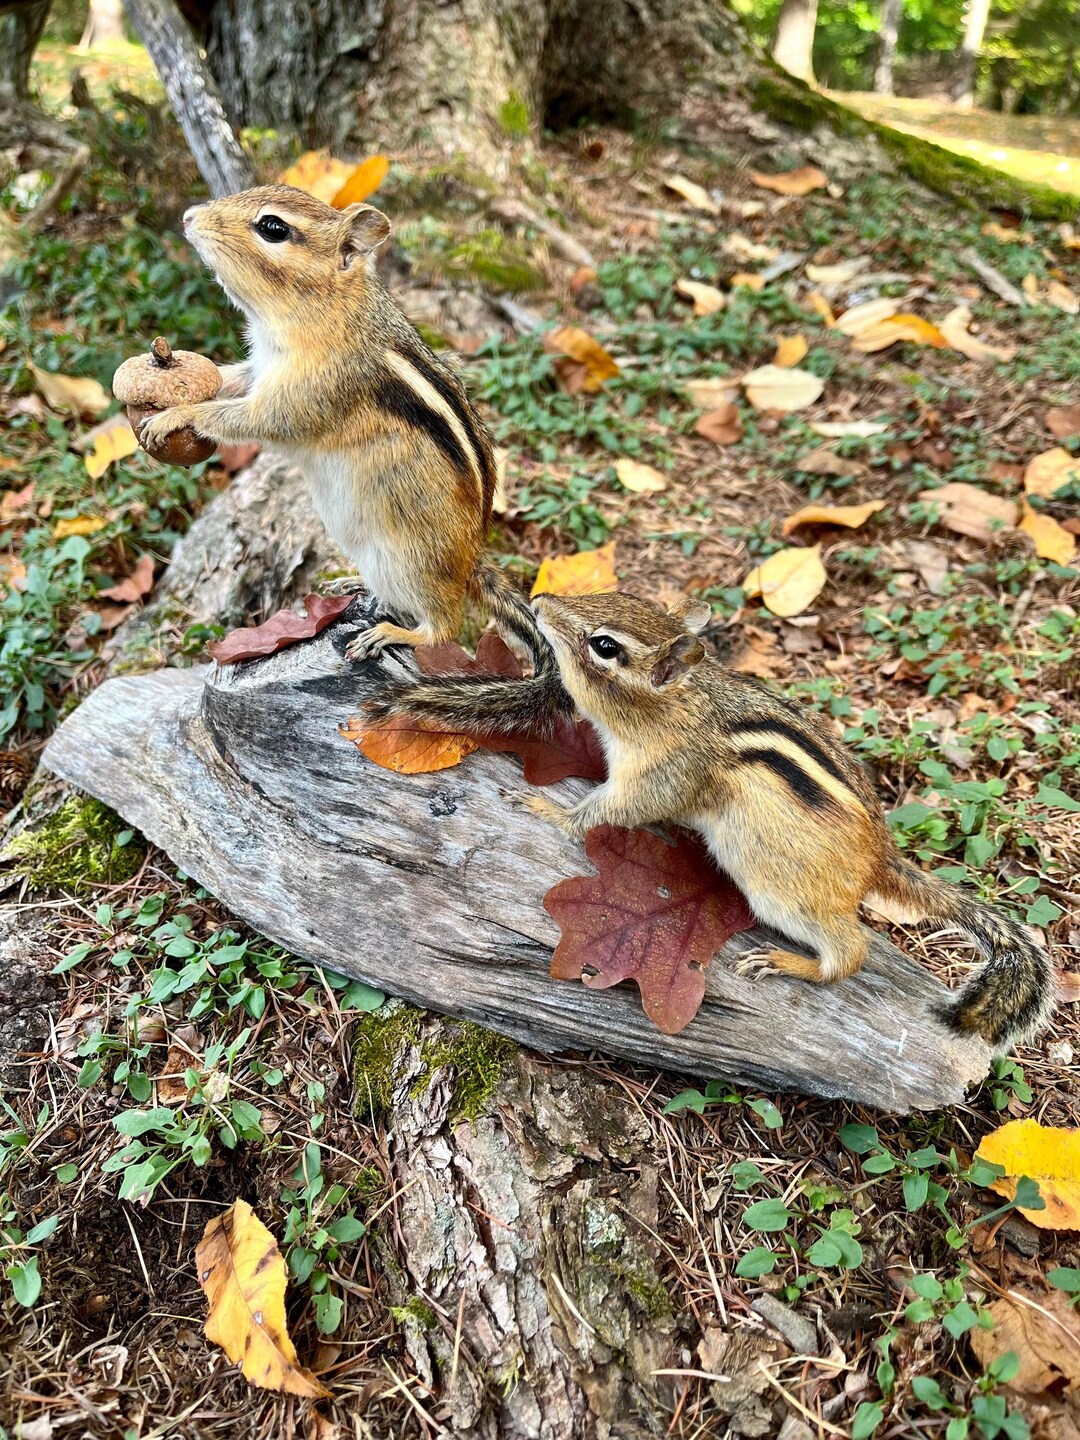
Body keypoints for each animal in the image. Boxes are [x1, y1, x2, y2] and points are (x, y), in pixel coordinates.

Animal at [136, 183, 570, 716]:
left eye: (273, 227)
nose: (189, 217)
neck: (330, 307)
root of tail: (473, 560)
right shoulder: (261, 369)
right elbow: (230, 380)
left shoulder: (310, 393)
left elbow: (250, 419)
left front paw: (177, 415)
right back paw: (353, 588)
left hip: (411, 558)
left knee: (443, 624)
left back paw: (391, 633)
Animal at [367, 589, 1055, 1053]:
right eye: (620, 594)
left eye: (605, 645)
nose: (540, 601)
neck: (678, 705)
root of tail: (880, 859)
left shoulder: (663, 775)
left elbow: (609, 810)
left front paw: (548, 809)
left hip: (781, 890)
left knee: (851, 951)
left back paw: (793, 964)